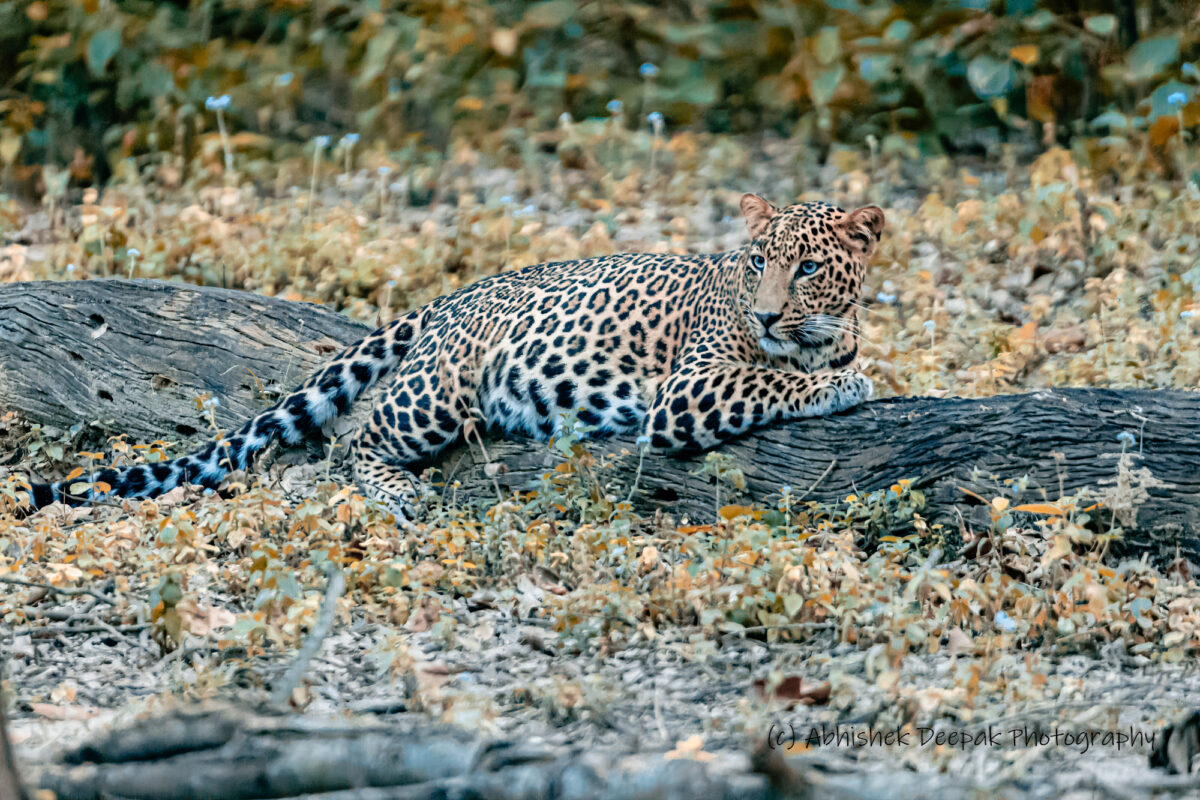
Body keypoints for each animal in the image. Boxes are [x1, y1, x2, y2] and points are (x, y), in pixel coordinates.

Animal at [21, 195, 884, 517]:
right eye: (758, 261)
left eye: (809, 266)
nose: (768, 311)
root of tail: (457, 294)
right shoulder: (686, 390)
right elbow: (765, 376)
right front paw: (841, 384)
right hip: (438, 393)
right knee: (354, 442)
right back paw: (400, 493)